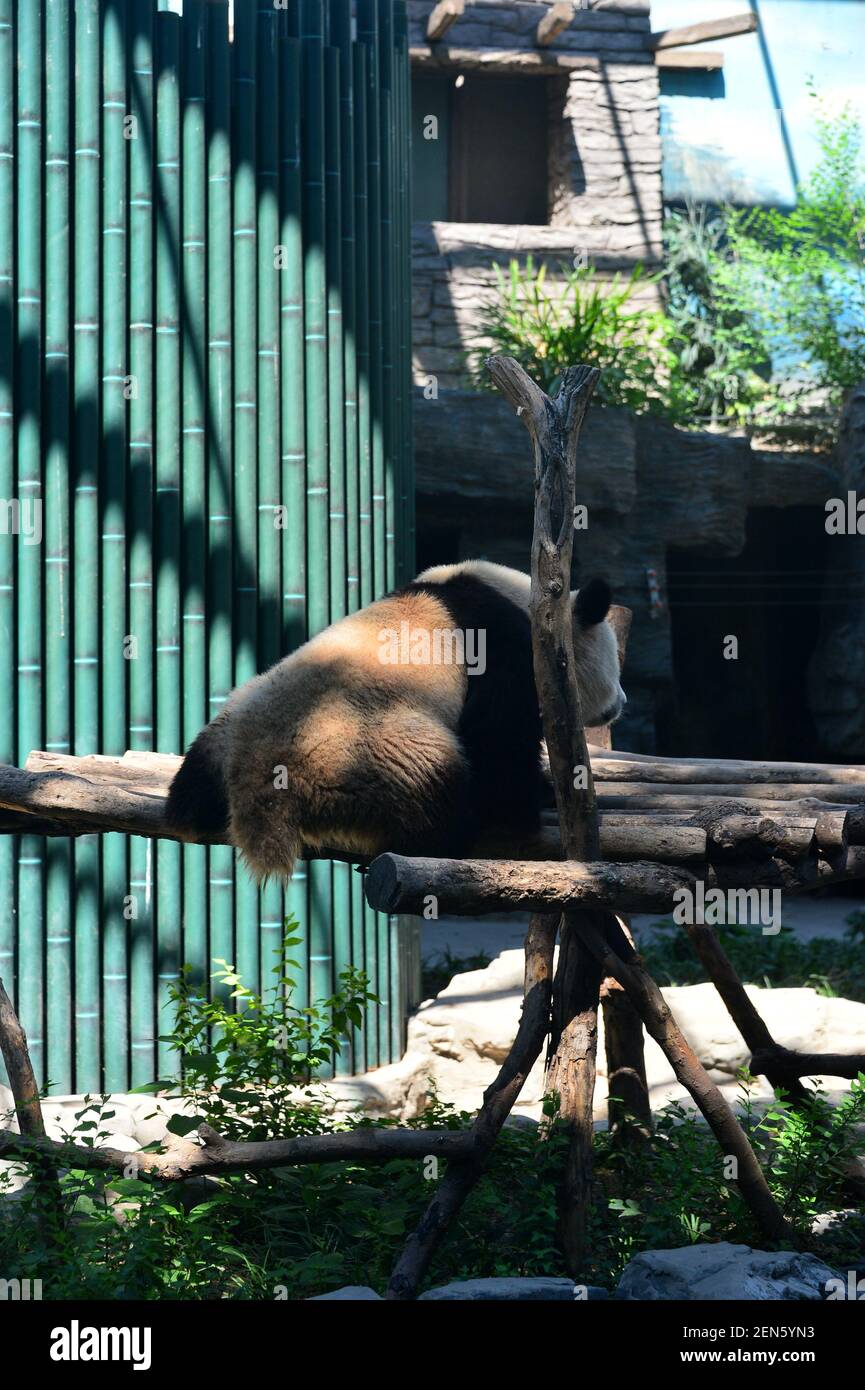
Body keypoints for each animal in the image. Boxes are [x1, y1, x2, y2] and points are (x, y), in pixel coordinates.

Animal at [165, 560, 626, 882]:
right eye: (615, 664)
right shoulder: (505, 651)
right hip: (371, 752)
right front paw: (532, 799)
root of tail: (256, 784)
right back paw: (451, 830)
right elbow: (499, 742)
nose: (620, 702)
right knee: (435, 783)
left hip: (229, 721)